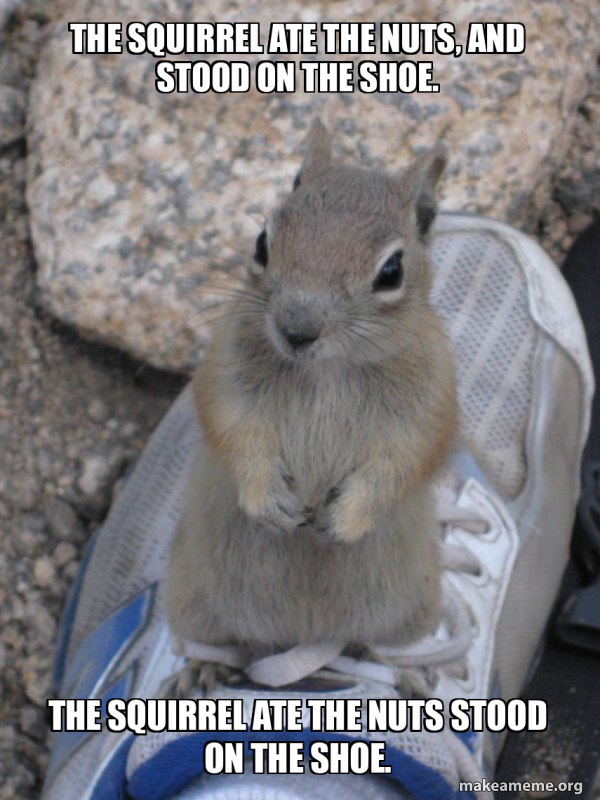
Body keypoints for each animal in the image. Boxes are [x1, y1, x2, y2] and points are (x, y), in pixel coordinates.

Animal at [166, 118, 458, 684]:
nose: (296, 329)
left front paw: (345, 518)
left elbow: (403, 462)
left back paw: (398, 674)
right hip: (190, 596)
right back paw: (202, 672)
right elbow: (235, 432)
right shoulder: (227, 377)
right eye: (263, 242)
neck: (325, 371)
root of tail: (307, 634)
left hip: (414, 610)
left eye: (392, 271)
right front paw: (268, 500)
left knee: (369, 643)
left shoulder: (428, 407)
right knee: (228, 645)